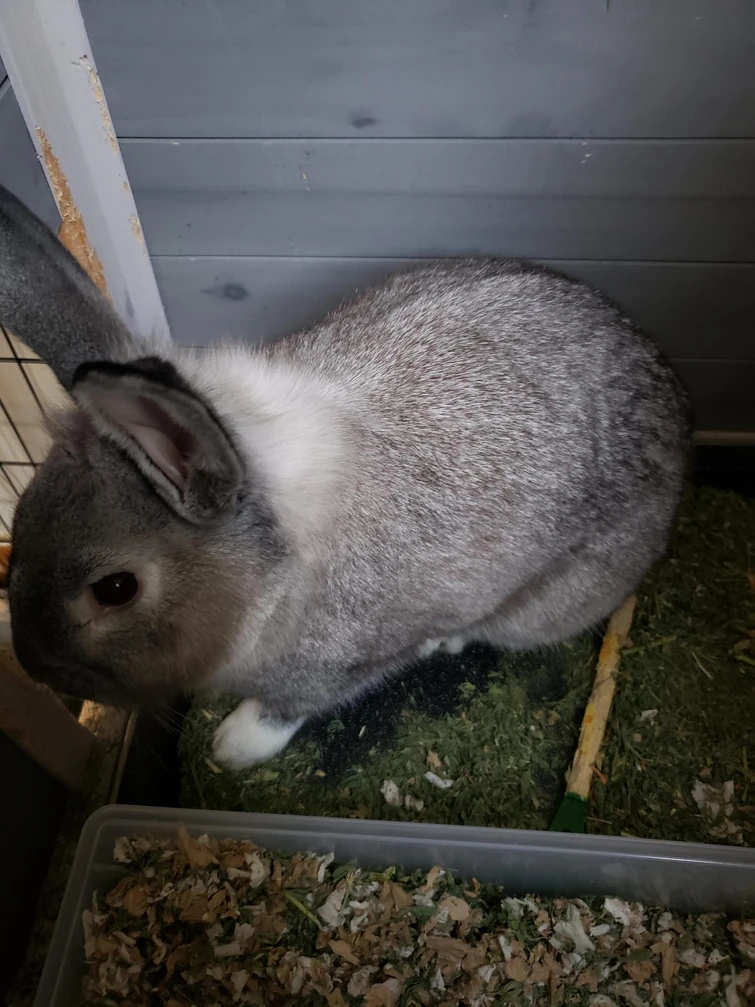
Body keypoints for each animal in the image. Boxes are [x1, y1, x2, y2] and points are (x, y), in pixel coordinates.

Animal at [0, 182, 690, 768]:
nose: (35, 669)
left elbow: (286, 709)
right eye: (21, 516)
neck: (275, 564)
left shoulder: (340, 662)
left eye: (115, 589)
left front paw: (231, 747)